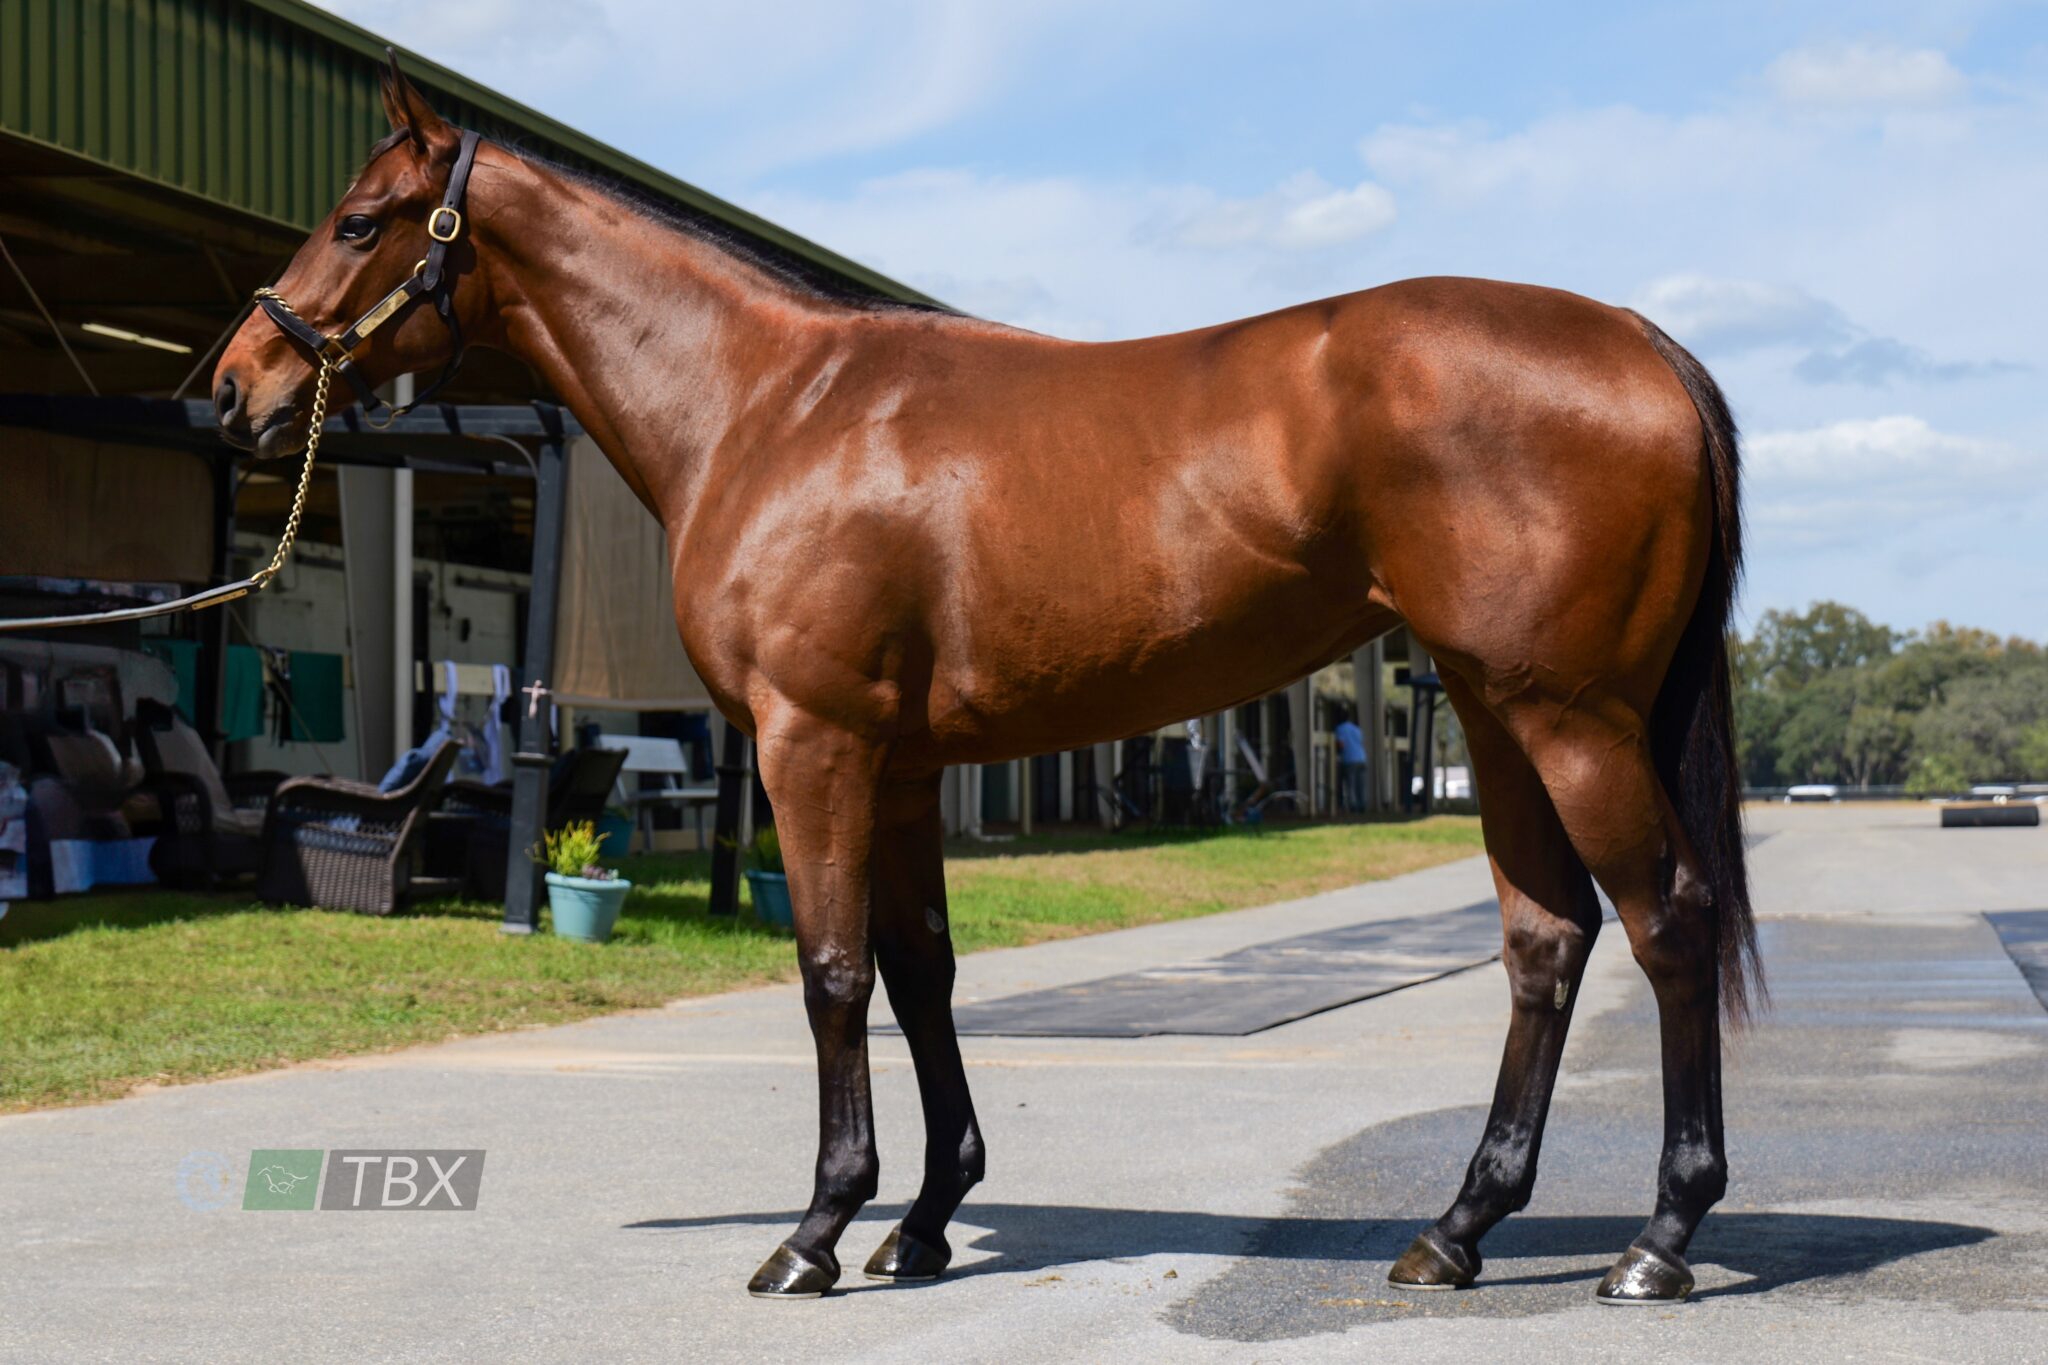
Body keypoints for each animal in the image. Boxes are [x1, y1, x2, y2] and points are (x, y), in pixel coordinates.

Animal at [213, 56, 1759, 1305]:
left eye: (360, 222)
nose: (233, 387)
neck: (771, 407)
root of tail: (1641, 344)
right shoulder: (897, 766)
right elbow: (921, 974)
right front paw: (925, 1216)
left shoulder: (814, 745)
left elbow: (832, 970)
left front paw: (817, 1230)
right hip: (1501, 716)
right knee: (1548, 942)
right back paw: (1457, 1228)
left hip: (1569, 720)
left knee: (1666, 924)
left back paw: (1659, 1240)